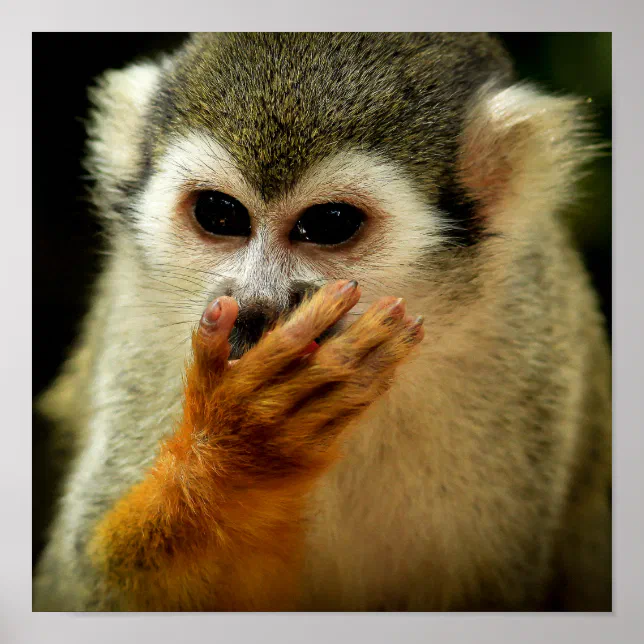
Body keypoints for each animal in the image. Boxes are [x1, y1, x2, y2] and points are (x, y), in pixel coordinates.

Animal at [32, 33, 611, 612]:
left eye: (330, 224)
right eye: (220, 214)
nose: (256, 306)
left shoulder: (528, 343)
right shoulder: (141, 328)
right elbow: (94, 587)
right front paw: (239, 454)